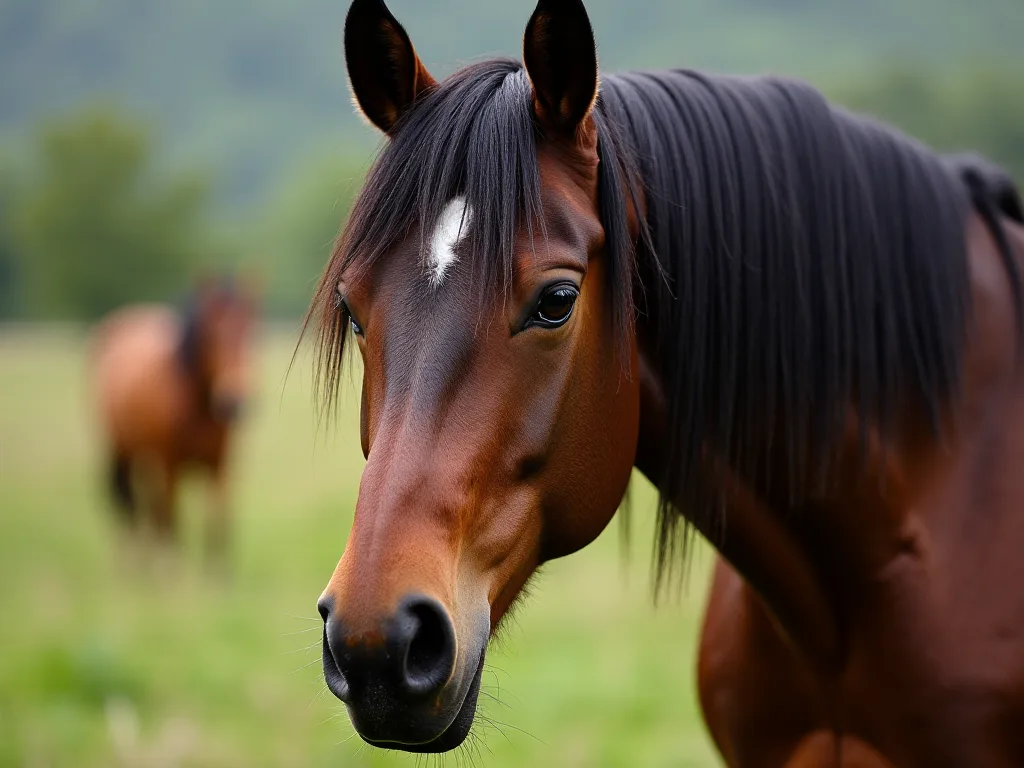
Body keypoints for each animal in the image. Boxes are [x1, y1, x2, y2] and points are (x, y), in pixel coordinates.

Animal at [90, 275, 259, 563]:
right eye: (212, 337)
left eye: (251, 332)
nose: (235, 403)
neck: (199, 408)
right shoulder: (171, 466)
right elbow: (173, 525)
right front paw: (172, 571)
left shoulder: (220, 467)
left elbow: (218, 527)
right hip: (121, 451)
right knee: (130, 506)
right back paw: (133, 564)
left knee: (148, 507)